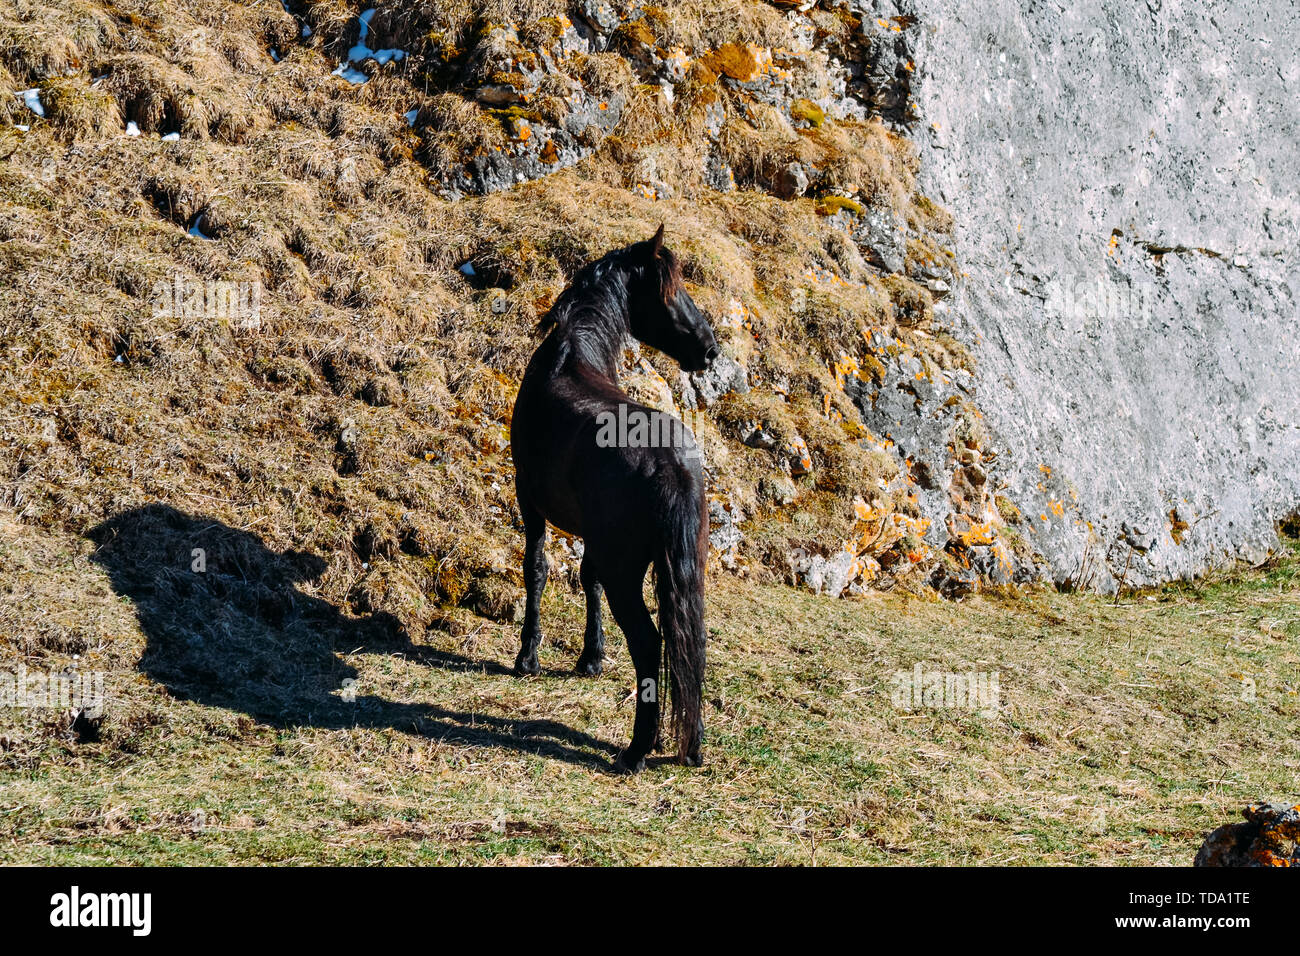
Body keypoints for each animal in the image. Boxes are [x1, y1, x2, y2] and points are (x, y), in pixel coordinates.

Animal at [509, 225, 720, 773]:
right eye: (669, 292)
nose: (710, 349)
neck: (570, 353)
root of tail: (672, 463)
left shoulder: (527, 497)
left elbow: (537, 568)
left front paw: (527, 658)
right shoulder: (590, 533)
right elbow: (588, 579)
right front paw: (591, 657)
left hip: (630, 572)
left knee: (649, 642)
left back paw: (636, 750)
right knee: (691, 639)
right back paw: (692, 744)